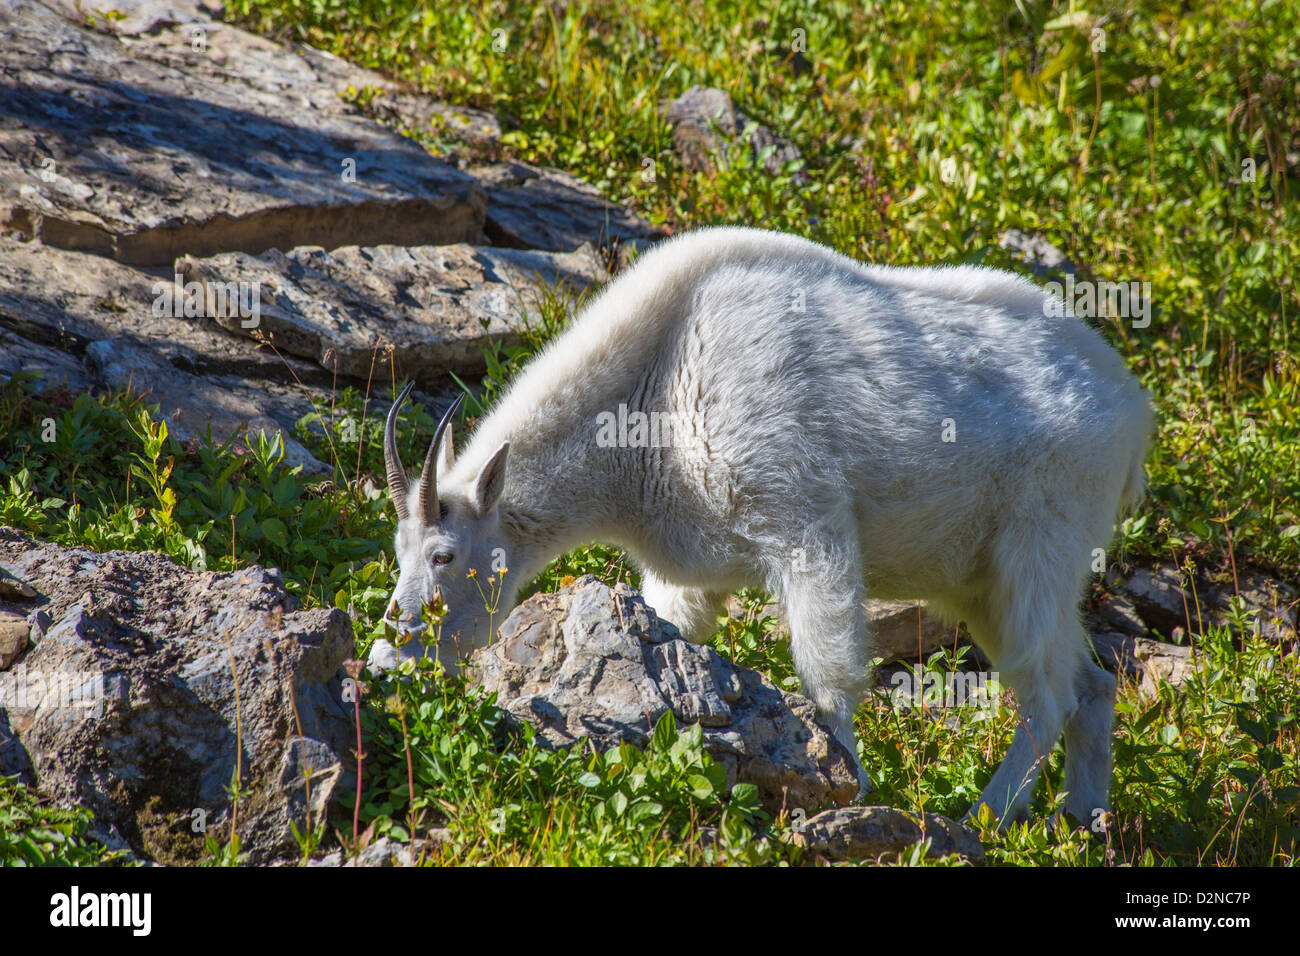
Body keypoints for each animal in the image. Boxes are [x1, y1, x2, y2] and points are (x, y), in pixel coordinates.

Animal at [377, 226, 1153, 826]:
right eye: (398, 551)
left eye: (443, 555)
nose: (390, 658)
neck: (655, 393)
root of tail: (1131, 404)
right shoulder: (683, 576)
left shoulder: (807, 527)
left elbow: (830, 678)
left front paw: (850, 788)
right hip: (980, 579)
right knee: (1090, 684)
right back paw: (1082, 817)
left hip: (1041, 545)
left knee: (1046, 691)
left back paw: (986, 817)